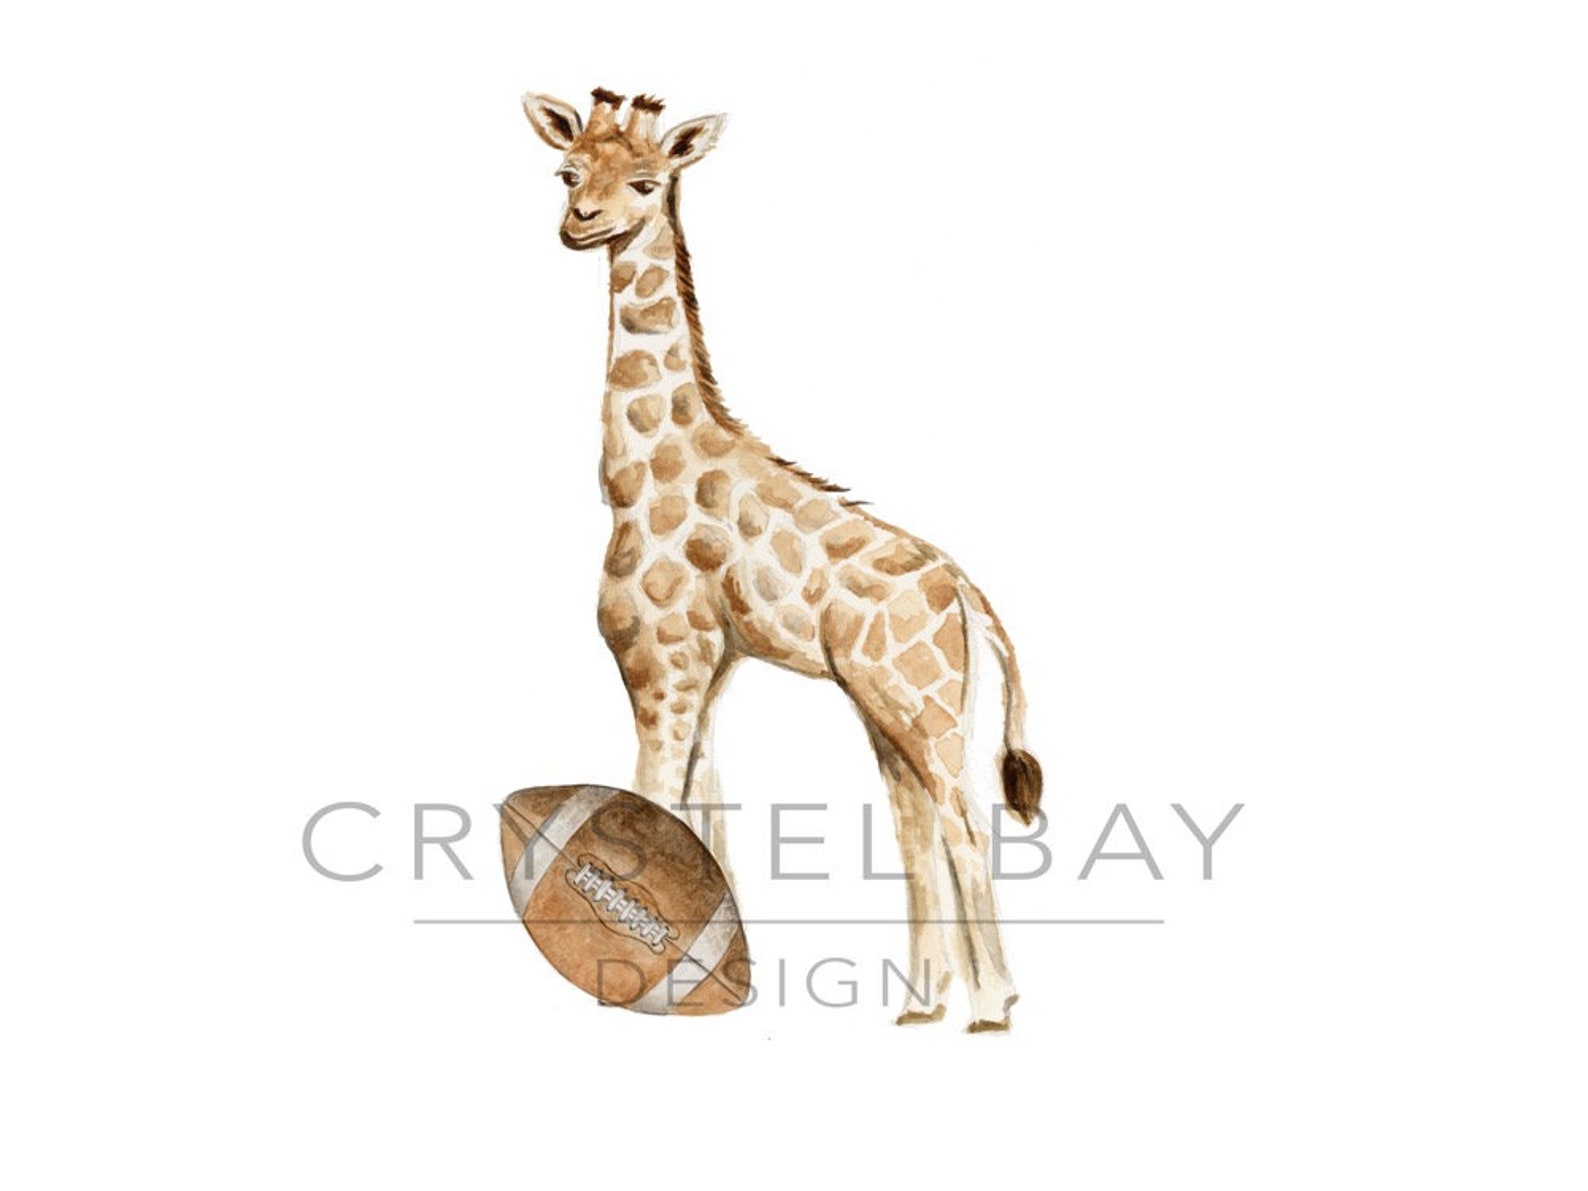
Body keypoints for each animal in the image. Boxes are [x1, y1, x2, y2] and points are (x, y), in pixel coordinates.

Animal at [521, 87, 1044, 1031]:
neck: (632, 478)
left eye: (647, 182)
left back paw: (992, 1005)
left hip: (922, 706)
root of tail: (965, 591)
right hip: (887, 705)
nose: (579, 226)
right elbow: (701, 823)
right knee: (916, 824)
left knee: (964, 820)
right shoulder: (704, 672)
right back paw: (920, 1002)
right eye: (567, 173)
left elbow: (650, 805)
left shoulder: (663, 666)